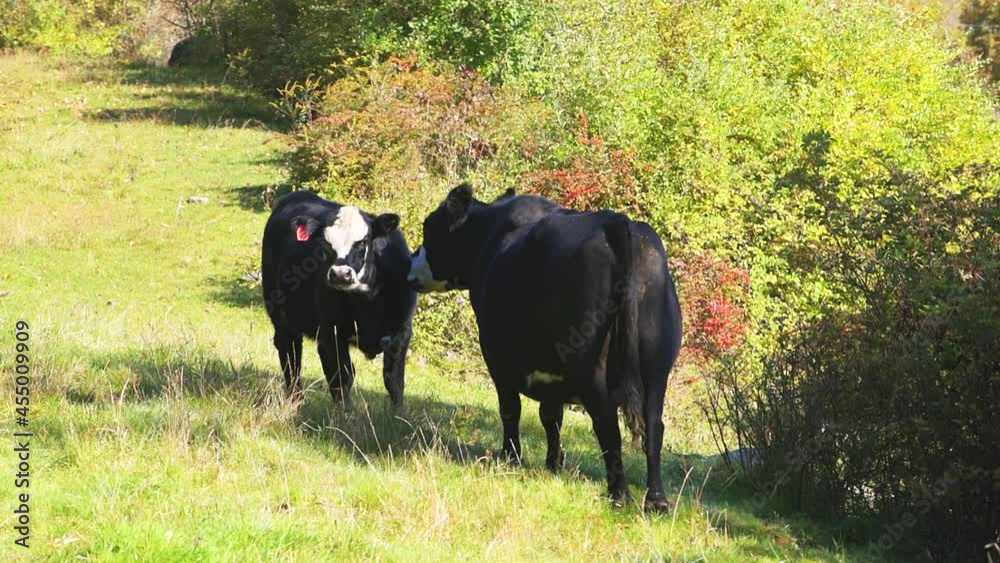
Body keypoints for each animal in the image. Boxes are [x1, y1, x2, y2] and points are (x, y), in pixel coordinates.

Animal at [261, 191, 417, 407]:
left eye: (363, 242)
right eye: (325, 244)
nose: (340, 274)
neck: (367, 301)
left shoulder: (401, 332)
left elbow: (394, 381)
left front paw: (398, 414)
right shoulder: (330, 333)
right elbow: (342, 378)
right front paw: (345, 414)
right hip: (280, 313)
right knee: (290, 350)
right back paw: (295, 399)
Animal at [407, 184, 682, 511]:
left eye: (429, 226)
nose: (410, 267)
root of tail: (617, 221)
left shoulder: (497, 358)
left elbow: (511, 409)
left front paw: (511, 458)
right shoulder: (553, 371)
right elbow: (551, 417)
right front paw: (553, 465)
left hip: (591, 368)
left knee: (607, 426)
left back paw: (619, 495)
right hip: (656, 367)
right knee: (654, 428)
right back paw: (657, 501)